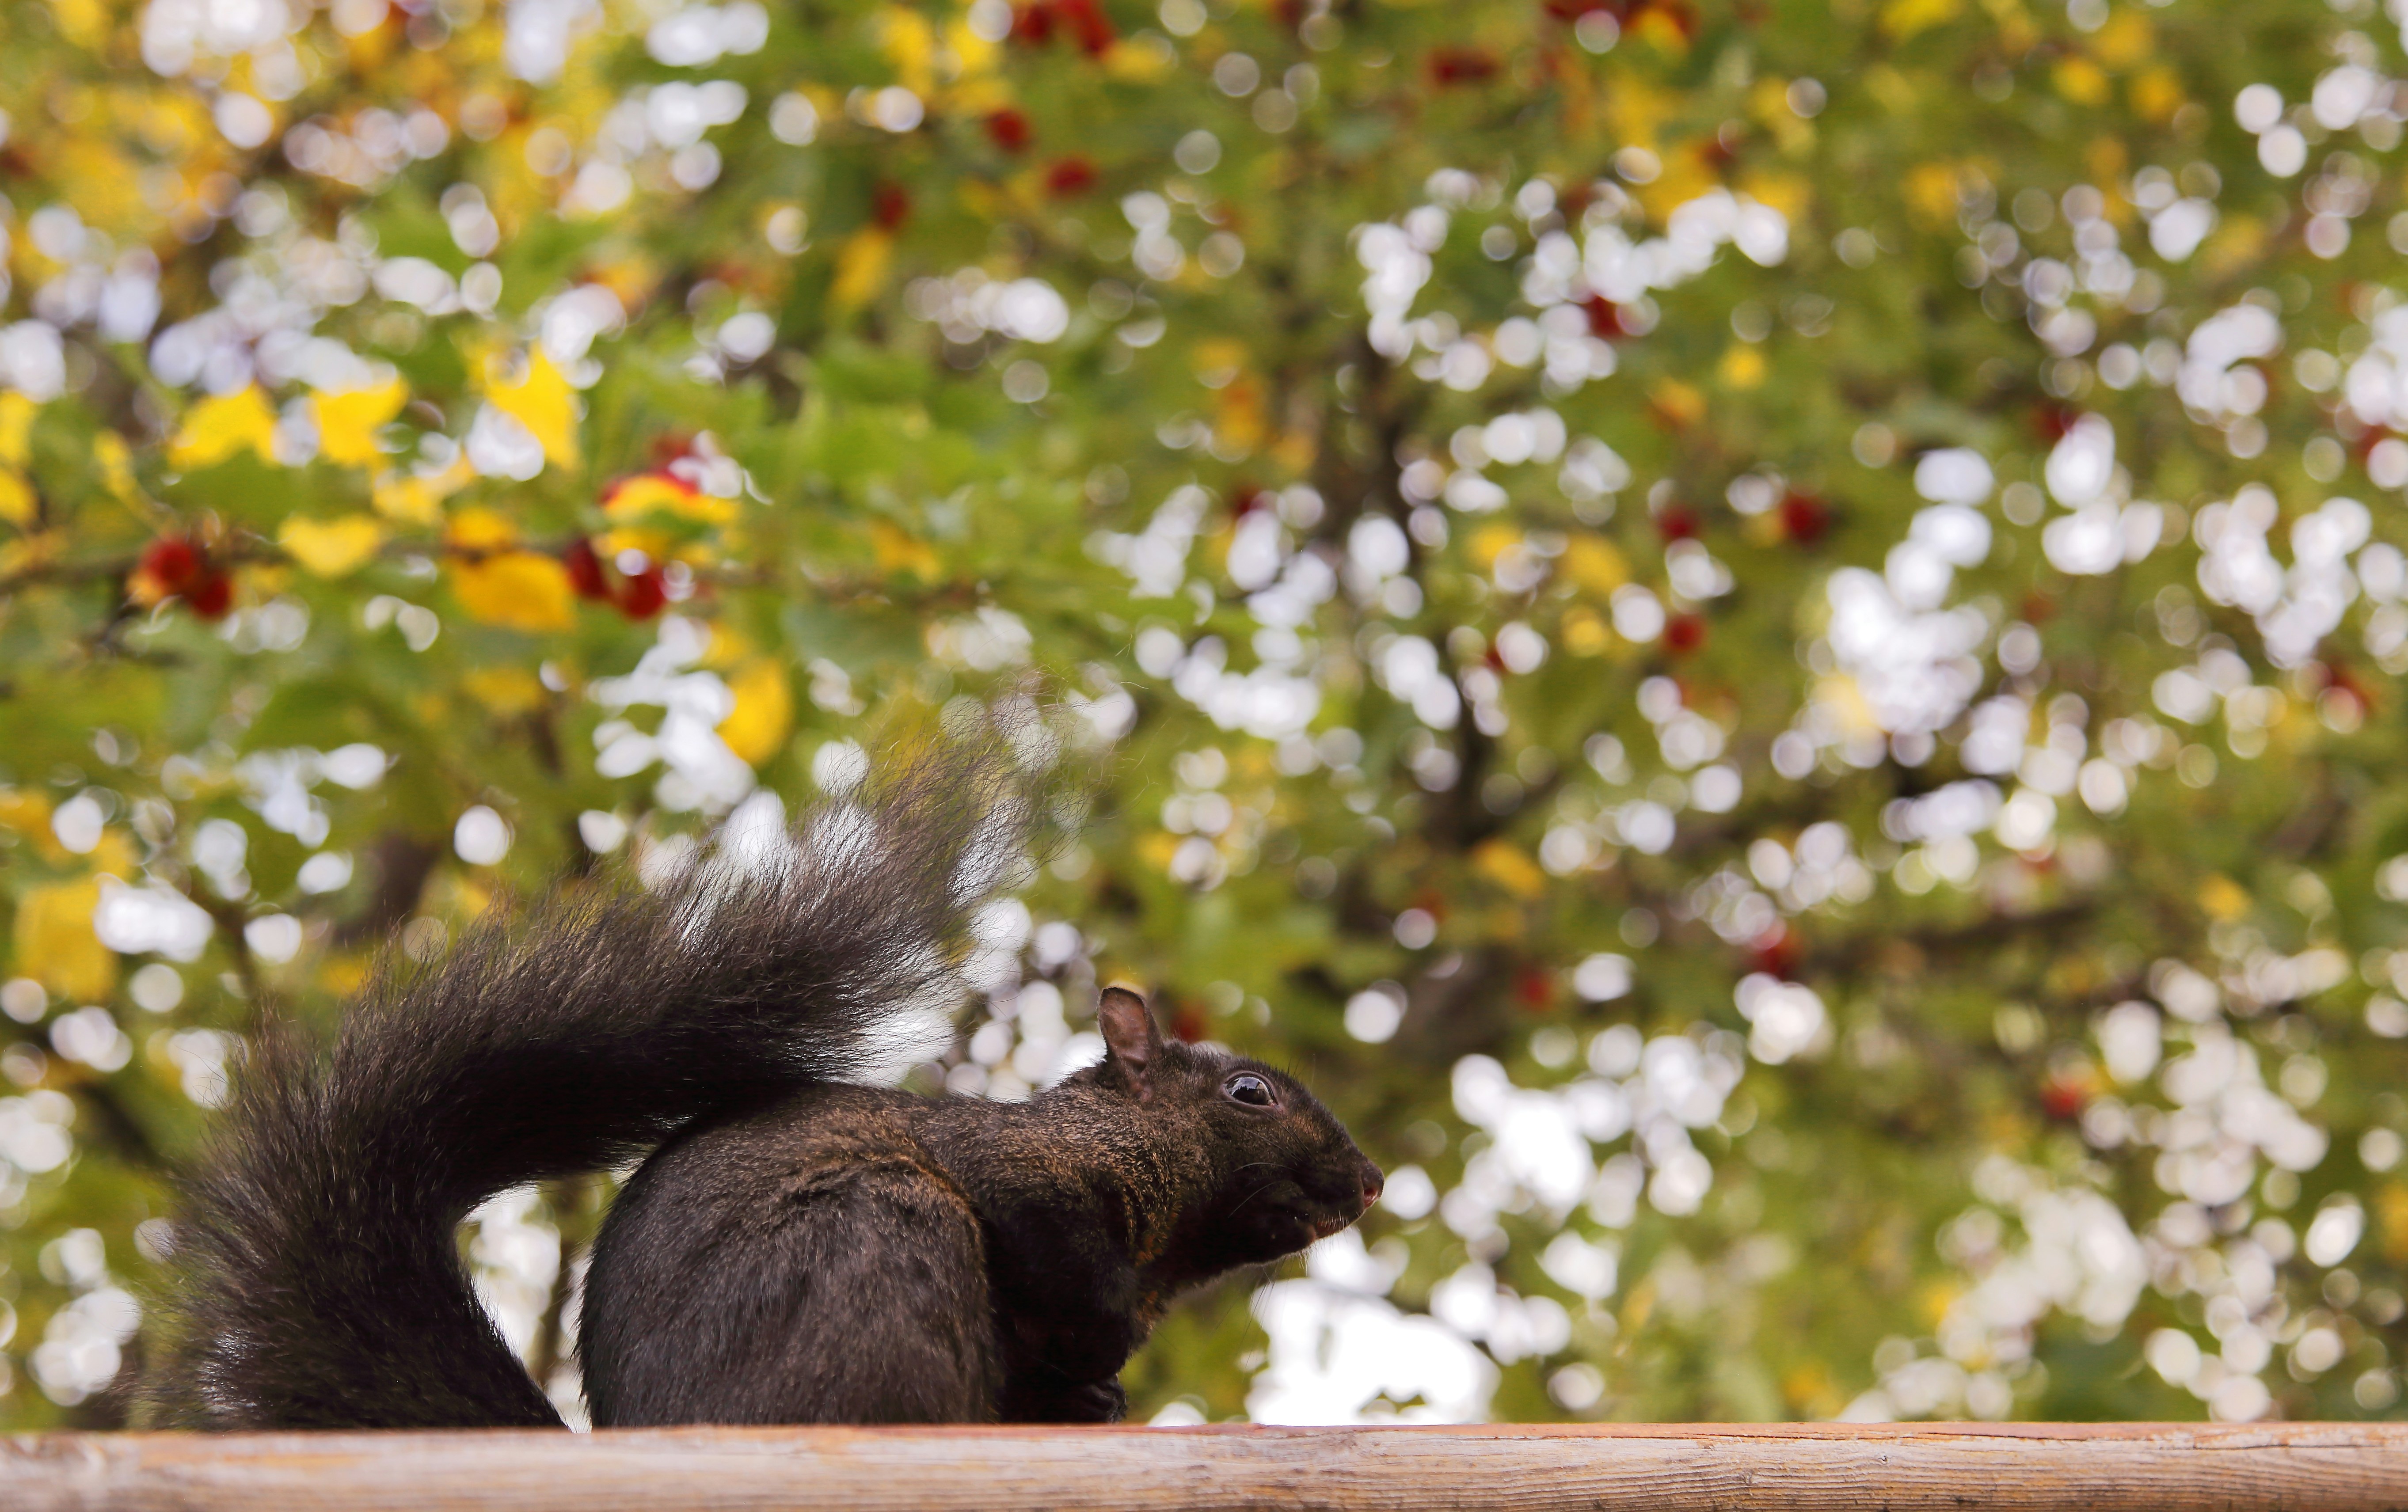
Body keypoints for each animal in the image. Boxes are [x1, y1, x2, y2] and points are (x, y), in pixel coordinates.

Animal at [138, 728, 1382, 1429]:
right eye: (1248, 1095)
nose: (1370, 1180)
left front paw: (1098, 1388)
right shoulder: (1025, 1177)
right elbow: (1055, 1247)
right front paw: (1109, 1335)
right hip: (878, 1241)